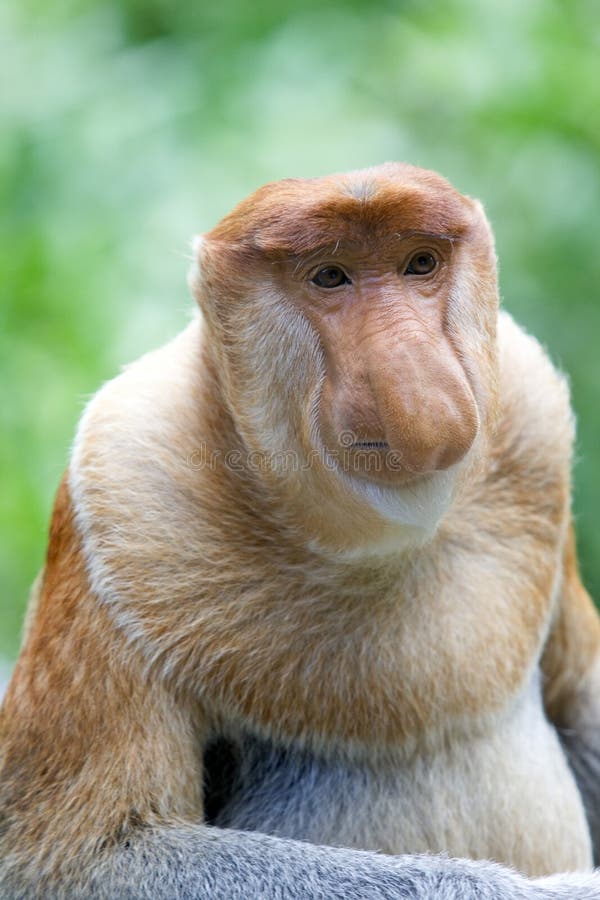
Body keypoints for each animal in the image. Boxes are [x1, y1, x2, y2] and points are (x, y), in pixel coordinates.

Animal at [2, 162, 600, 900]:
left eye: (420, 263)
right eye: (330, 277)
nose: (417, 385)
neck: (379, 544)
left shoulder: (531, 420)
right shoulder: (120, 492)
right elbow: (84, 854)